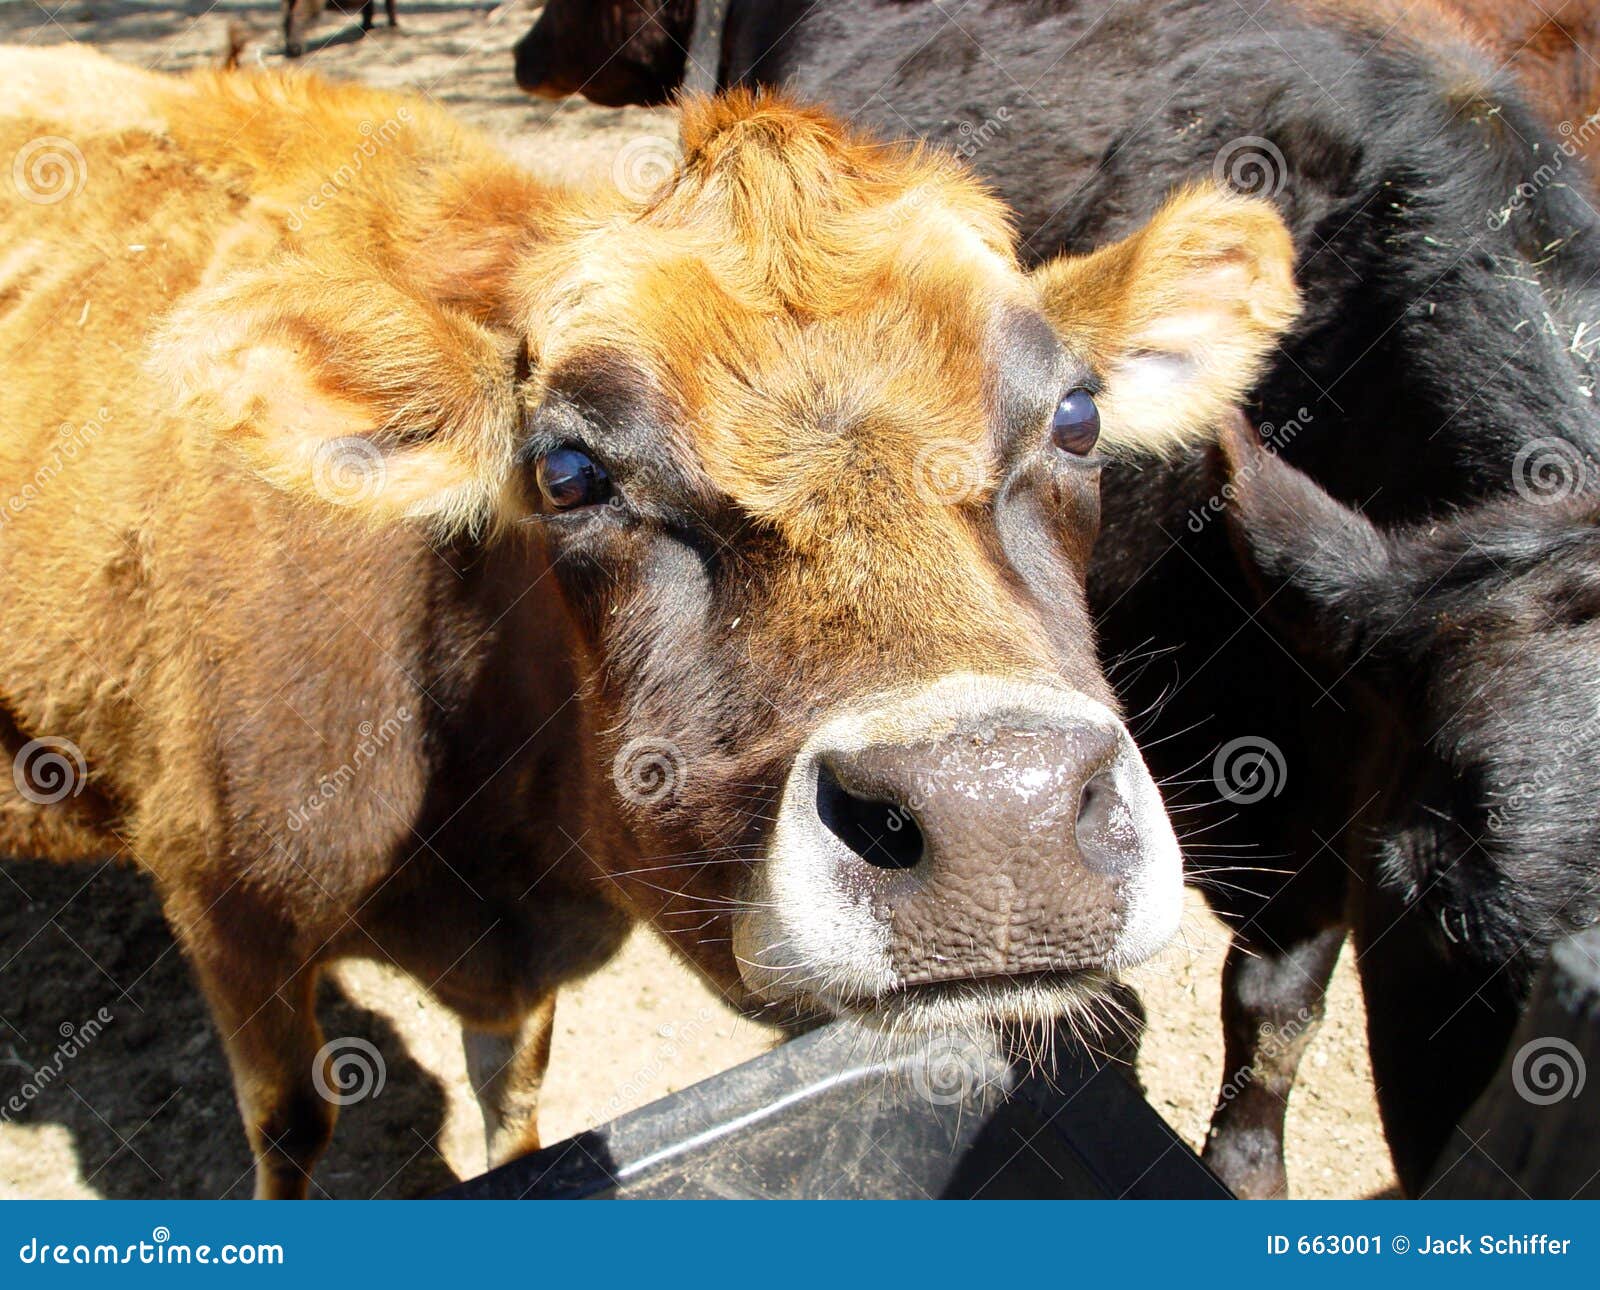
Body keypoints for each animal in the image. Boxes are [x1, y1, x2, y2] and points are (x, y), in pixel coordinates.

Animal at [0, 45, 1297, 1197]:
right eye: (569, 472)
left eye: (1077, 417)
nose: (998, 813)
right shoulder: (225, 906)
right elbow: (290, 1128)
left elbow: (514, 1087)